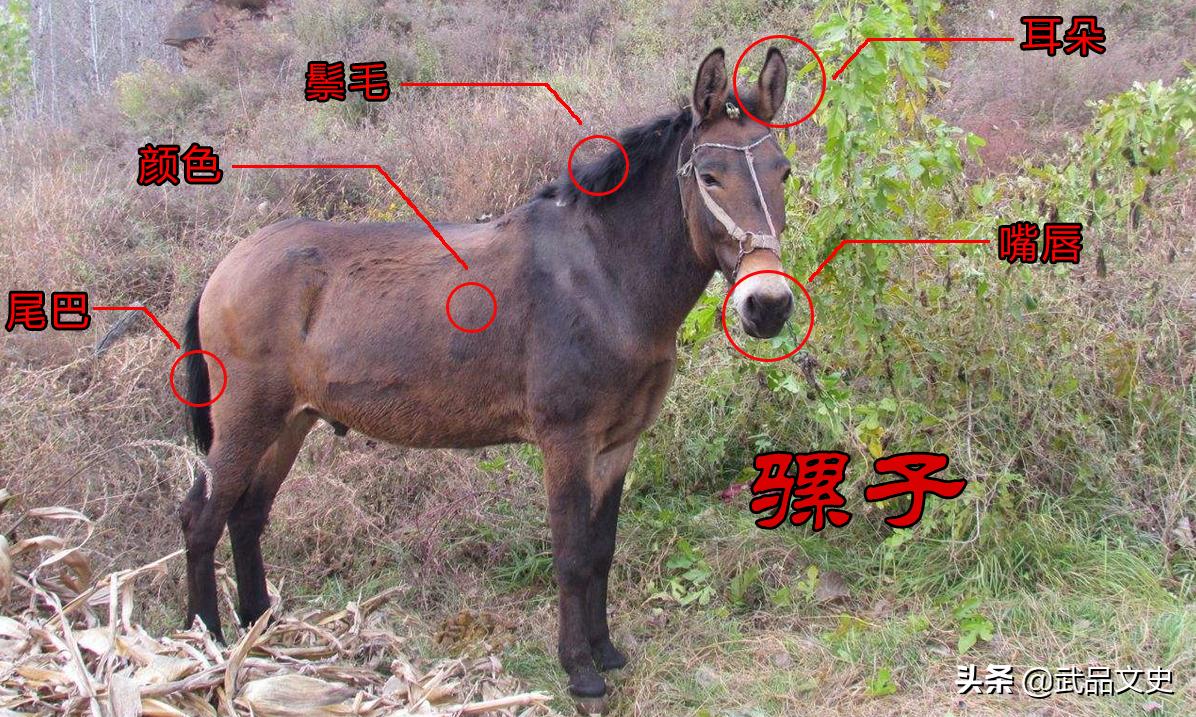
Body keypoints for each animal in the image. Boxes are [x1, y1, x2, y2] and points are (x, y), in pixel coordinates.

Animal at [179, 46, 796, 698]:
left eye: (783, 172)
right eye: (709, 177)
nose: (769, 304)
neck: (604, 276)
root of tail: (228, 265)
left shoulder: (617, 445)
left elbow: (601, 550)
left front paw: (605, 652)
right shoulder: (567, 442)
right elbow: (572, 555)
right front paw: (579, 671)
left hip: (289, 423)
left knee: (247, 515)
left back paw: (258, 626)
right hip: (246, 421)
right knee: (201, 518)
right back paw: (206, 642)